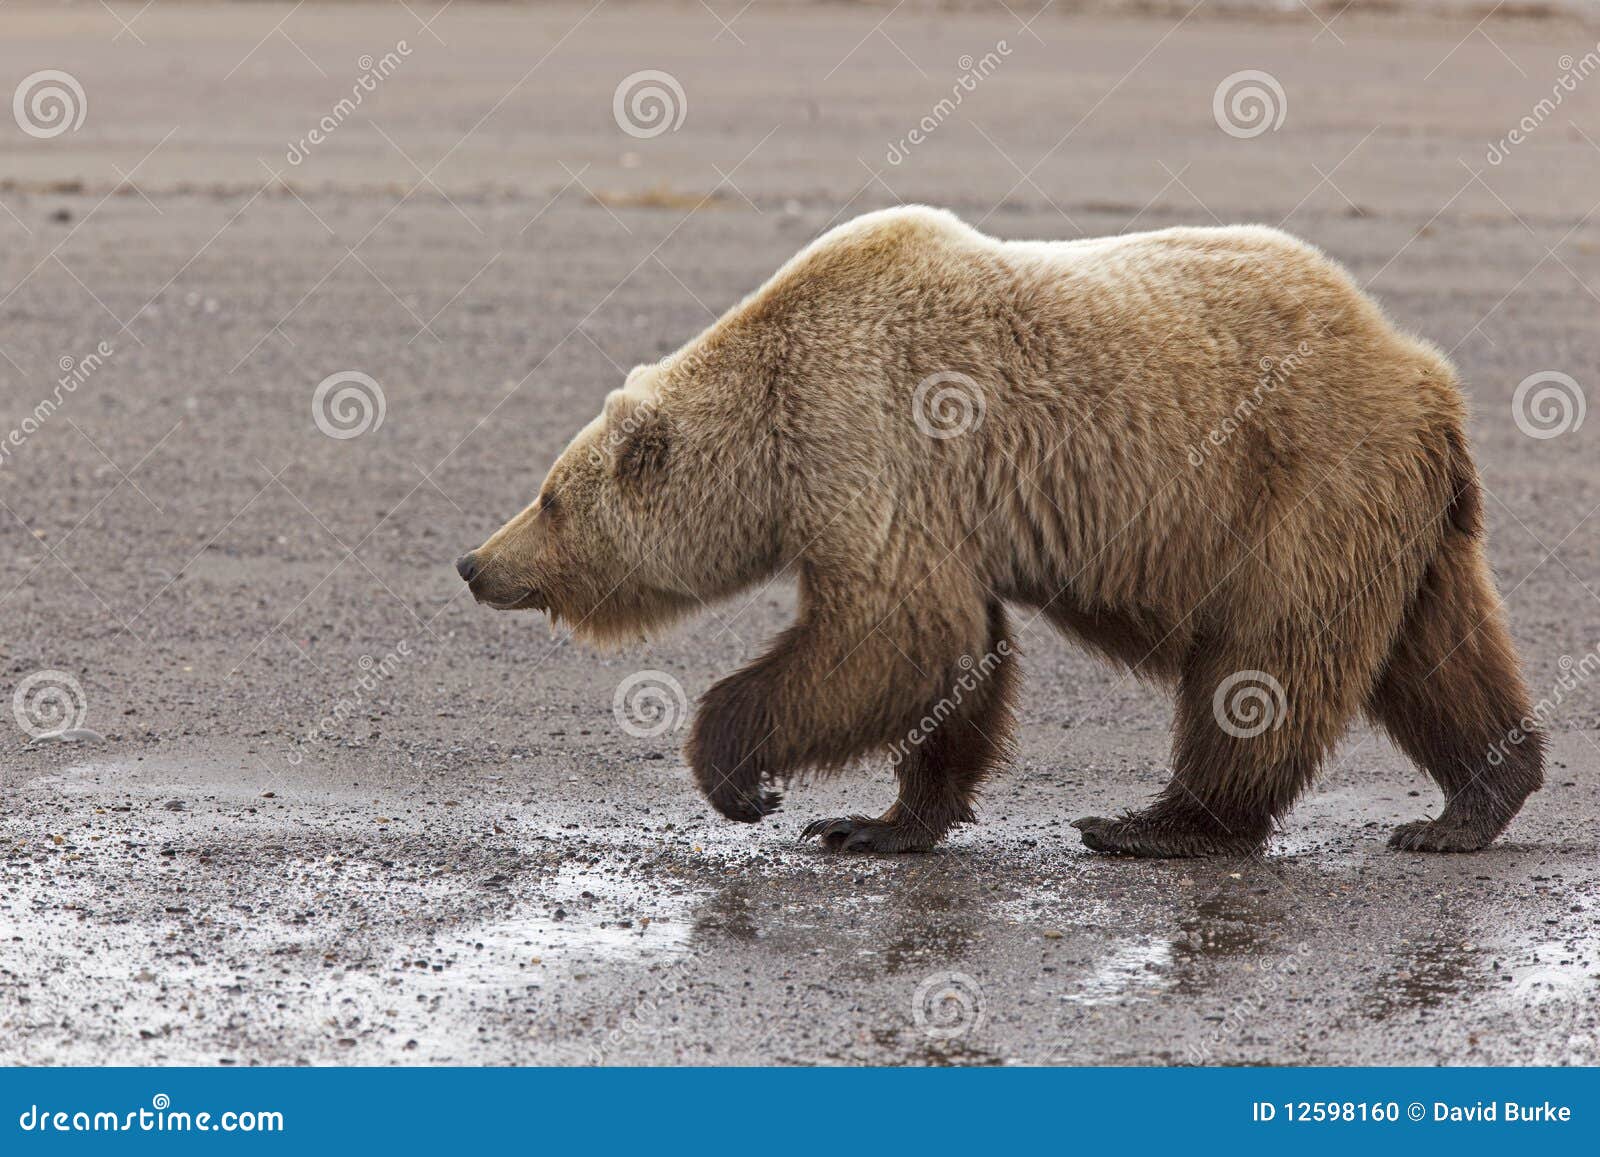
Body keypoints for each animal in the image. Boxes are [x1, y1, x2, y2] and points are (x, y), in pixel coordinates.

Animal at [457, 206, 1544, 857]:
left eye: (549, 498)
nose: (475, 562)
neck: (774, 431)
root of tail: (1422, 374)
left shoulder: (873, 442)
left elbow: (893, 635)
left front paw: (743, 776)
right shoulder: (934, 508)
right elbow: (955, 659)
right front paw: (878, 821)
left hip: (1297, 488)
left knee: (1263, 668)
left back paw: (1155, 822)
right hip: (1400, 519)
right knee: (1439, 655)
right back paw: (1472, 802)